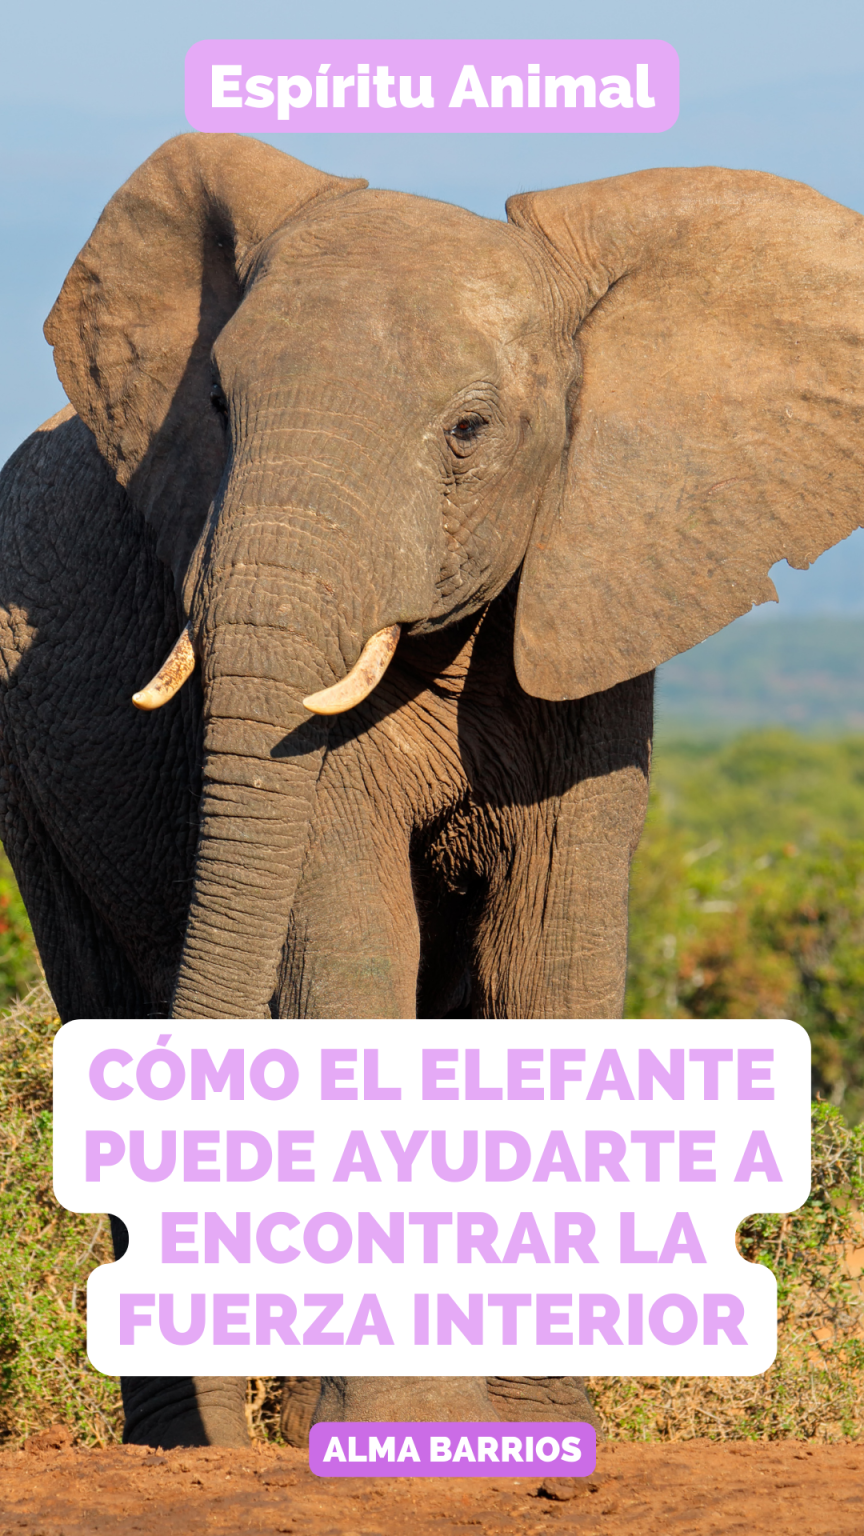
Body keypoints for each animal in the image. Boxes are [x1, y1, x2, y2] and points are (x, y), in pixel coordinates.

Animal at [0, 133, 862, 1449]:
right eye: (218, 410)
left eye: (468, 431)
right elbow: (350, 937)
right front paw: (399, 1428)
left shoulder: (593, 598)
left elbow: (545, 945)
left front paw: (525, 1427)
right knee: (100, 1001)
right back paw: (180, 1444)